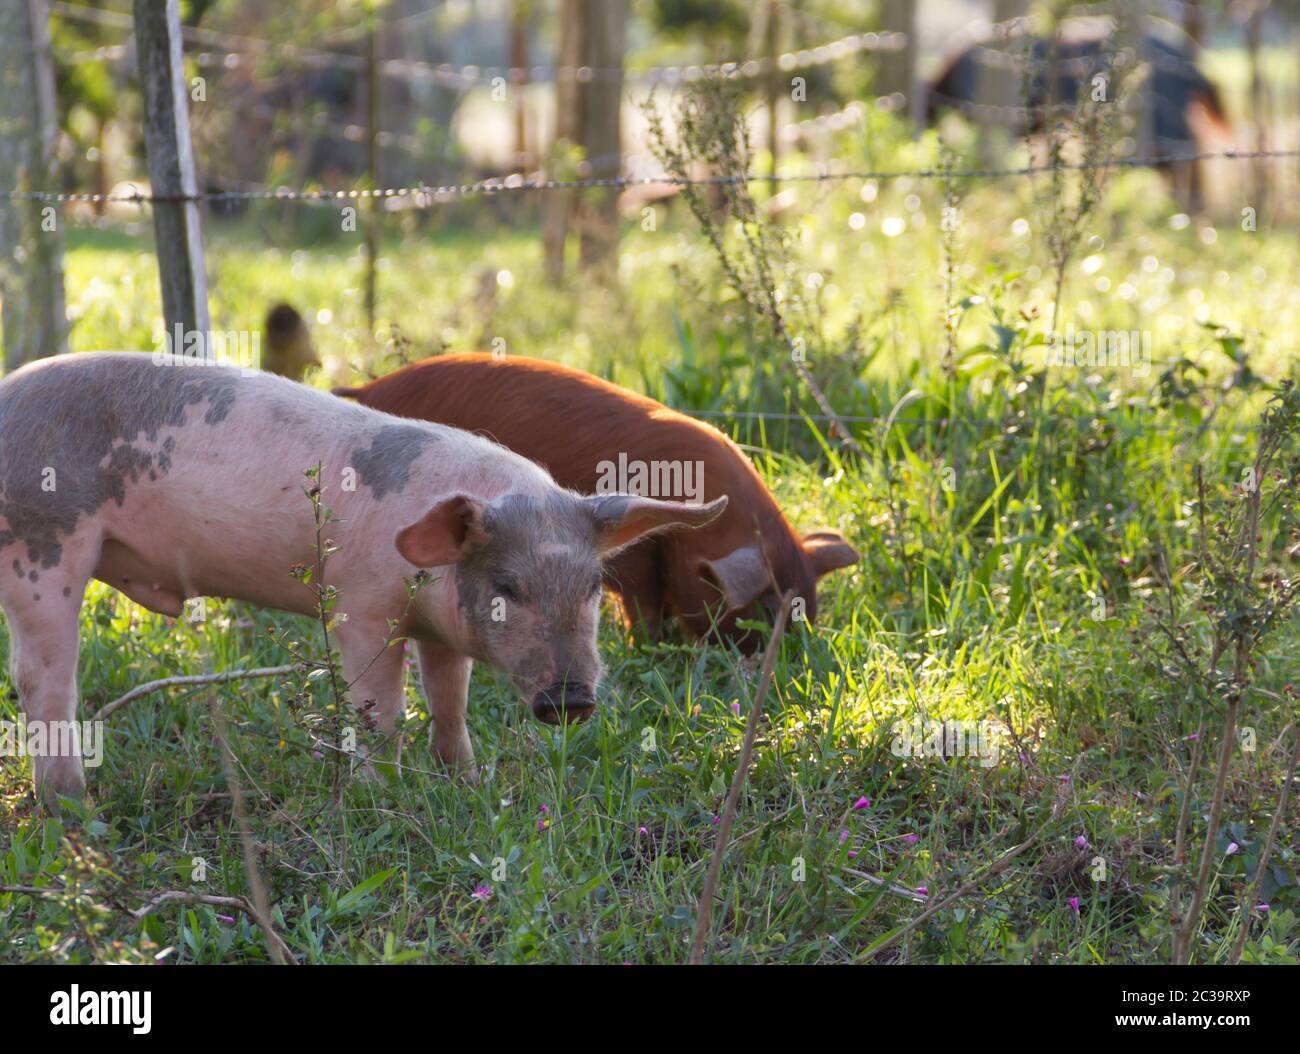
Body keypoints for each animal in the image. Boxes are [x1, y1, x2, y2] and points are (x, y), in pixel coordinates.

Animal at [0, 352, 725, 805]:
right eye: (508, 588)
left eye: (592, 588)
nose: (570, 700)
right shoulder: (361, 606)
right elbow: (381, 711)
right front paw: (385, 795)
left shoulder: (439, 631)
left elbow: (449, 701)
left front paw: (466, 783)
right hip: (42, 546)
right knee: (42, 679)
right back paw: (74, 807)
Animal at [334, 354, 859, 653]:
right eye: (766, 610)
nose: (777, 660)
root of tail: (368, 389)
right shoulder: (632, 561)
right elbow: (641, 610)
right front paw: (645, 646)